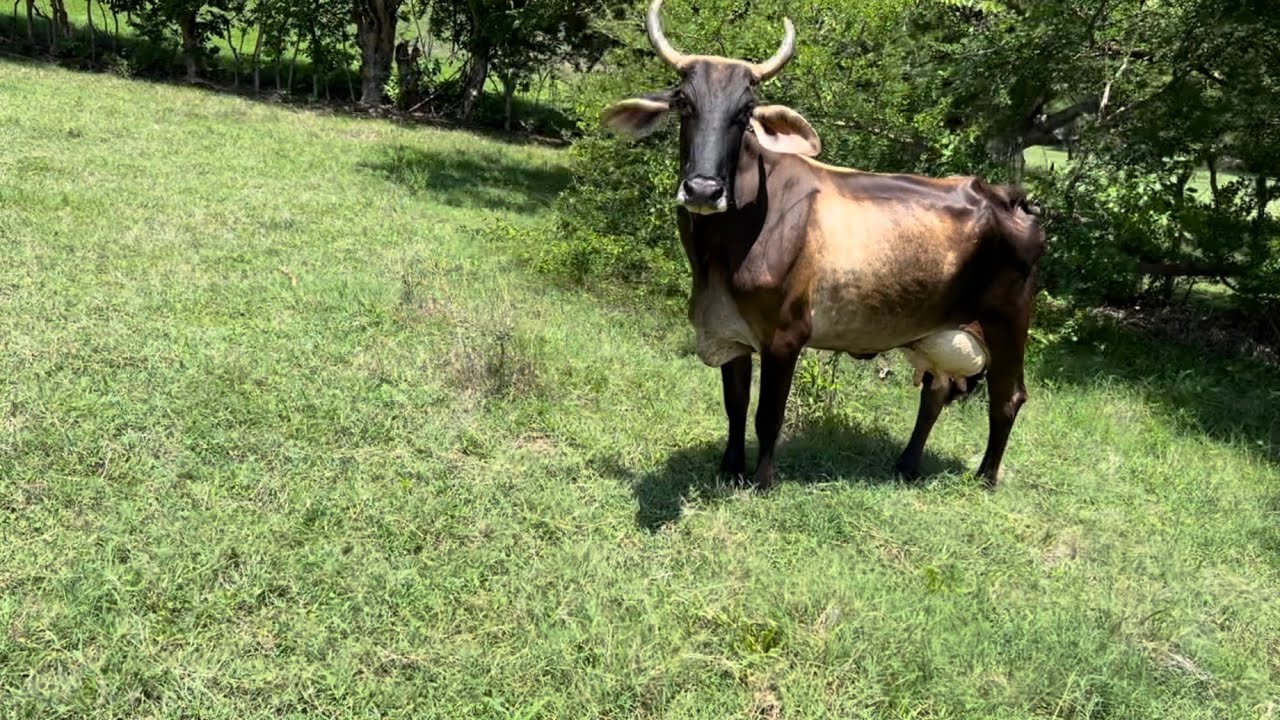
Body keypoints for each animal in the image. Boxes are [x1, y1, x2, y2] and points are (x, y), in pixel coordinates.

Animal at [603, 0, 1046, 490]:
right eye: (684, 101)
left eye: (745, 110)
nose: (703, 189)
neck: (718, 251)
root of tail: (1009, 197)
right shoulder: (730, 332)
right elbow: (735, 407)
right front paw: (730, 469)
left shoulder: (785, 336)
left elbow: (767, 416)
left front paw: (762, 481)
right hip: (939, 328)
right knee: (937, 389)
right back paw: (907, 465)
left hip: (1008, 320)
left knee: (1008, 397)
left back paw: (985, 477)